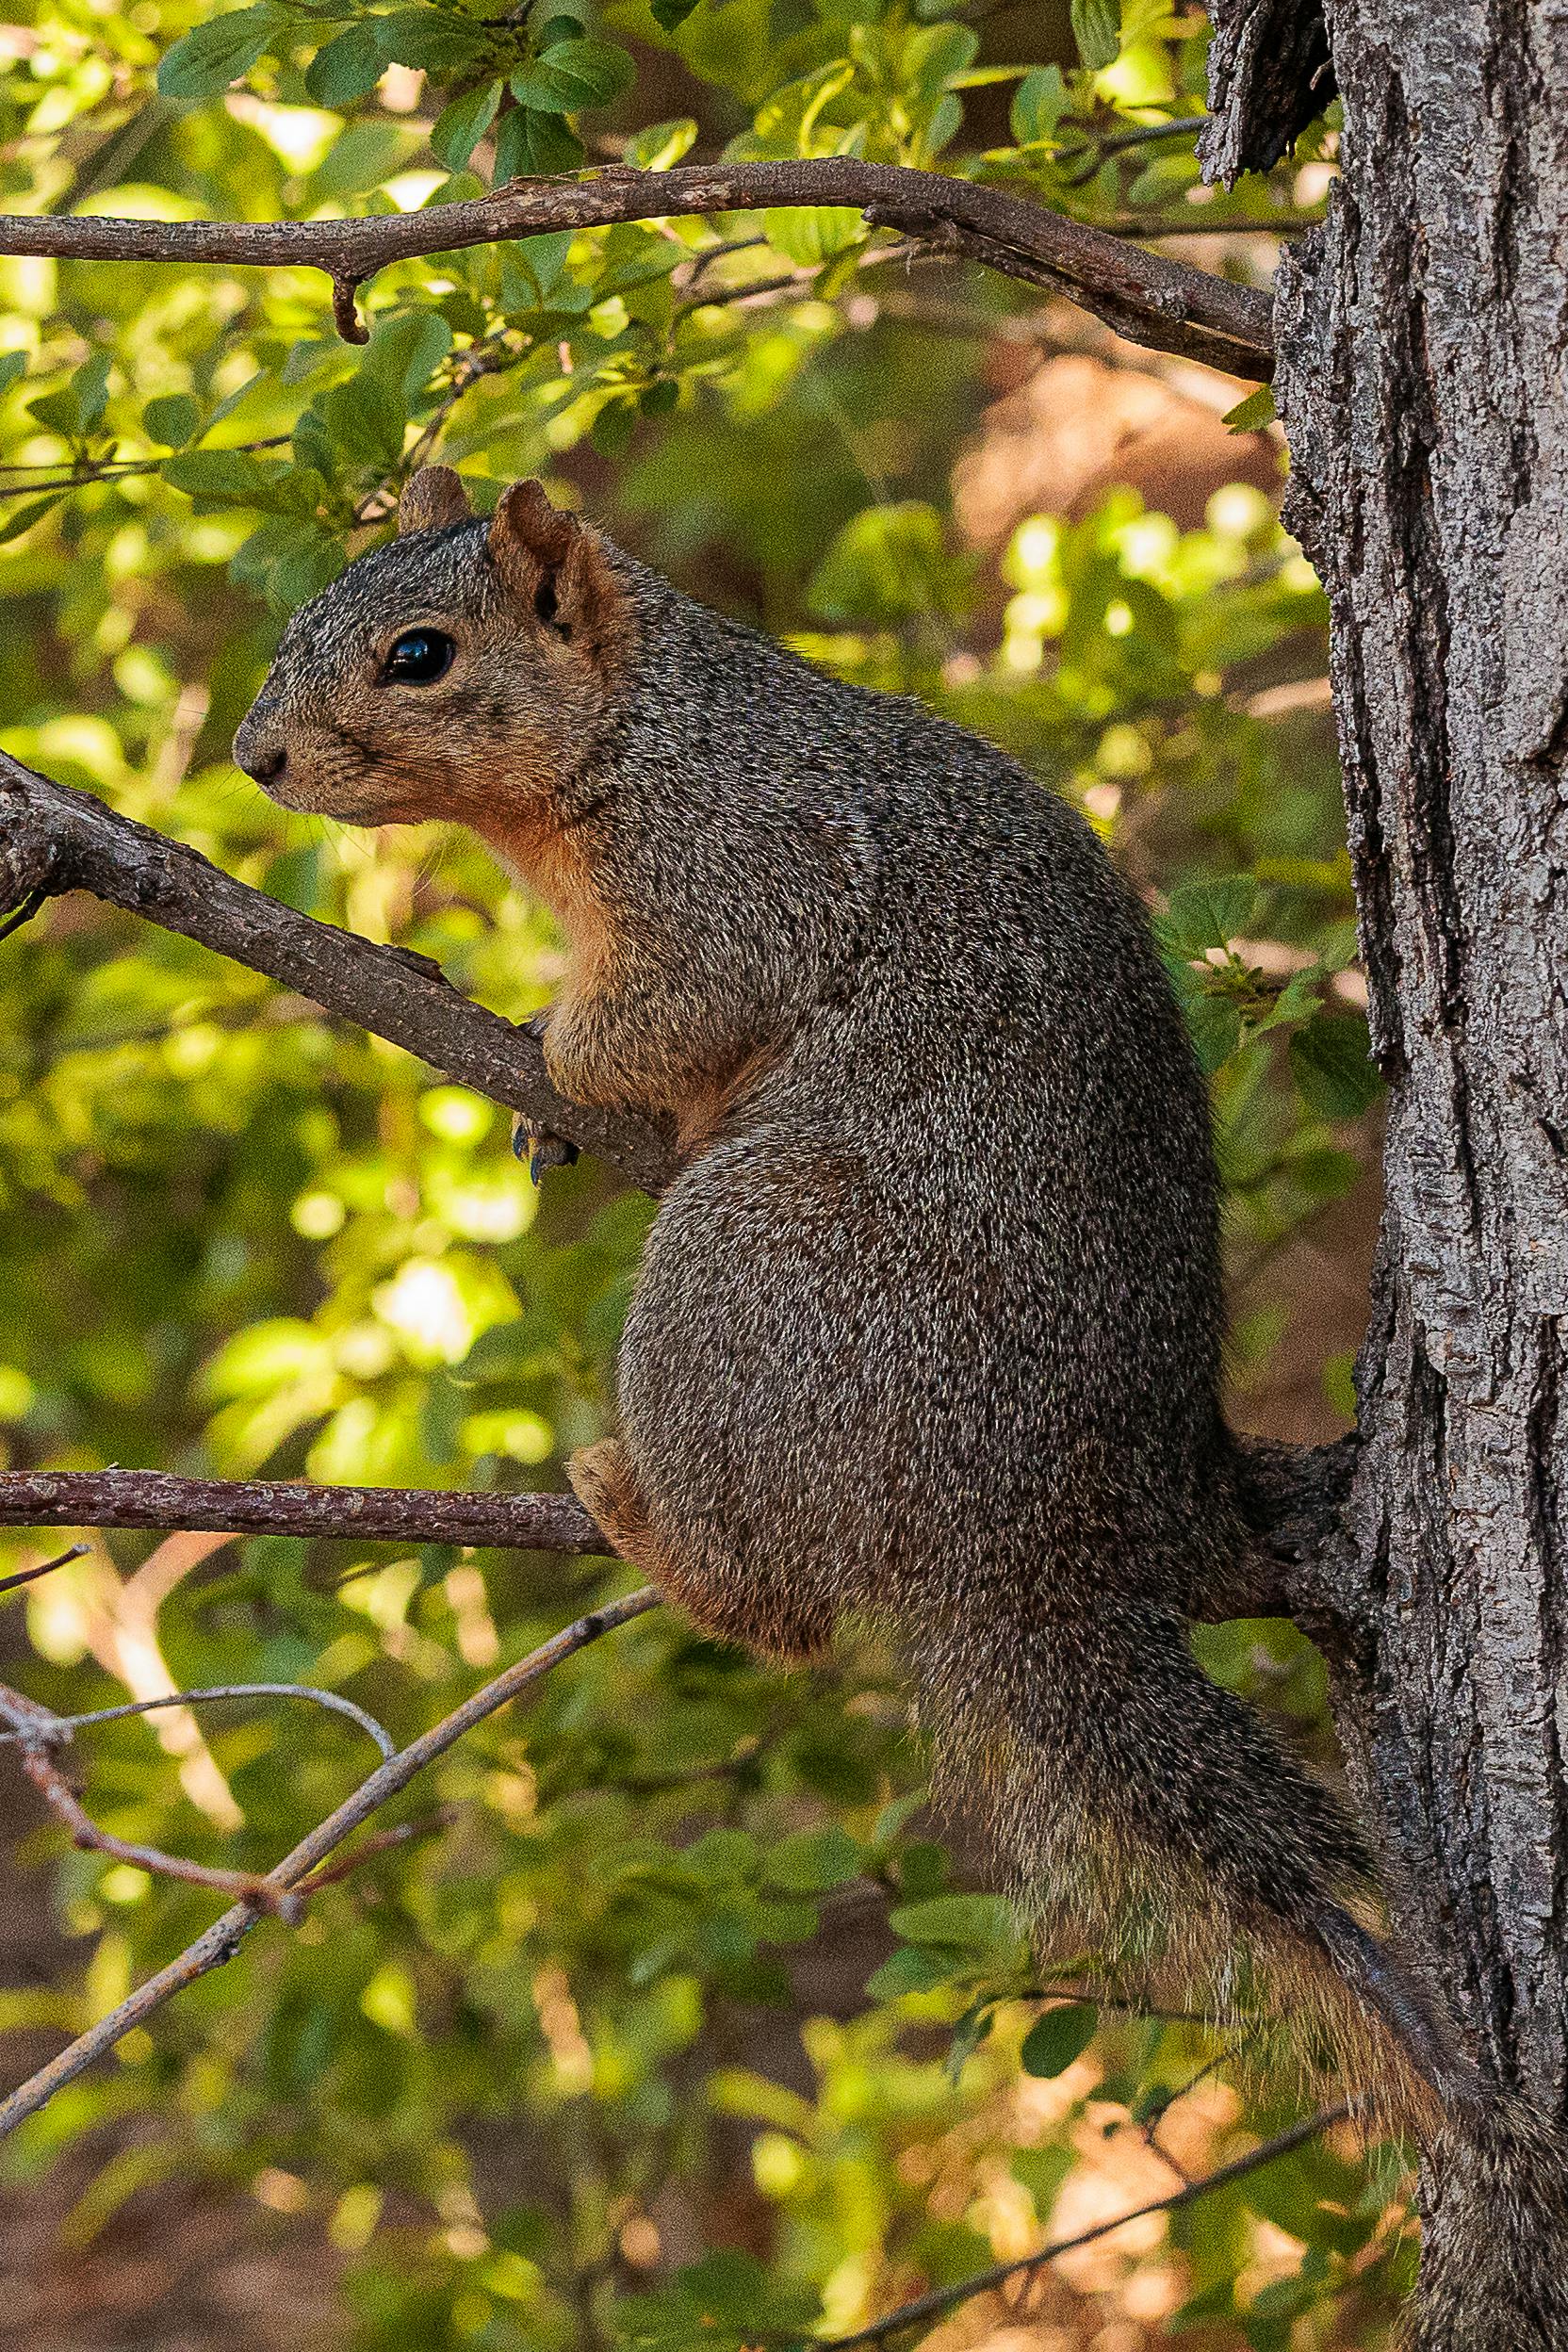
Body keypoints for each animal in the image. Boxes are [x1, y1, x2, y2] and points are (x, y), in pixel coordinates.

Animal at [234, 467, 1490, 2150]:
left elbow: (660, 1020)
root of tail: (1040, 1548)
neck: (646, 730)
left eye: (418, 657)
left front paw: (556, 1061)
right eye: (305, 615)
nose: (258, 757)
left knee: (788, 1614)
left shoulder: (741, 882)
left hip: (742, 1271)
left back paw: (649, 1523)